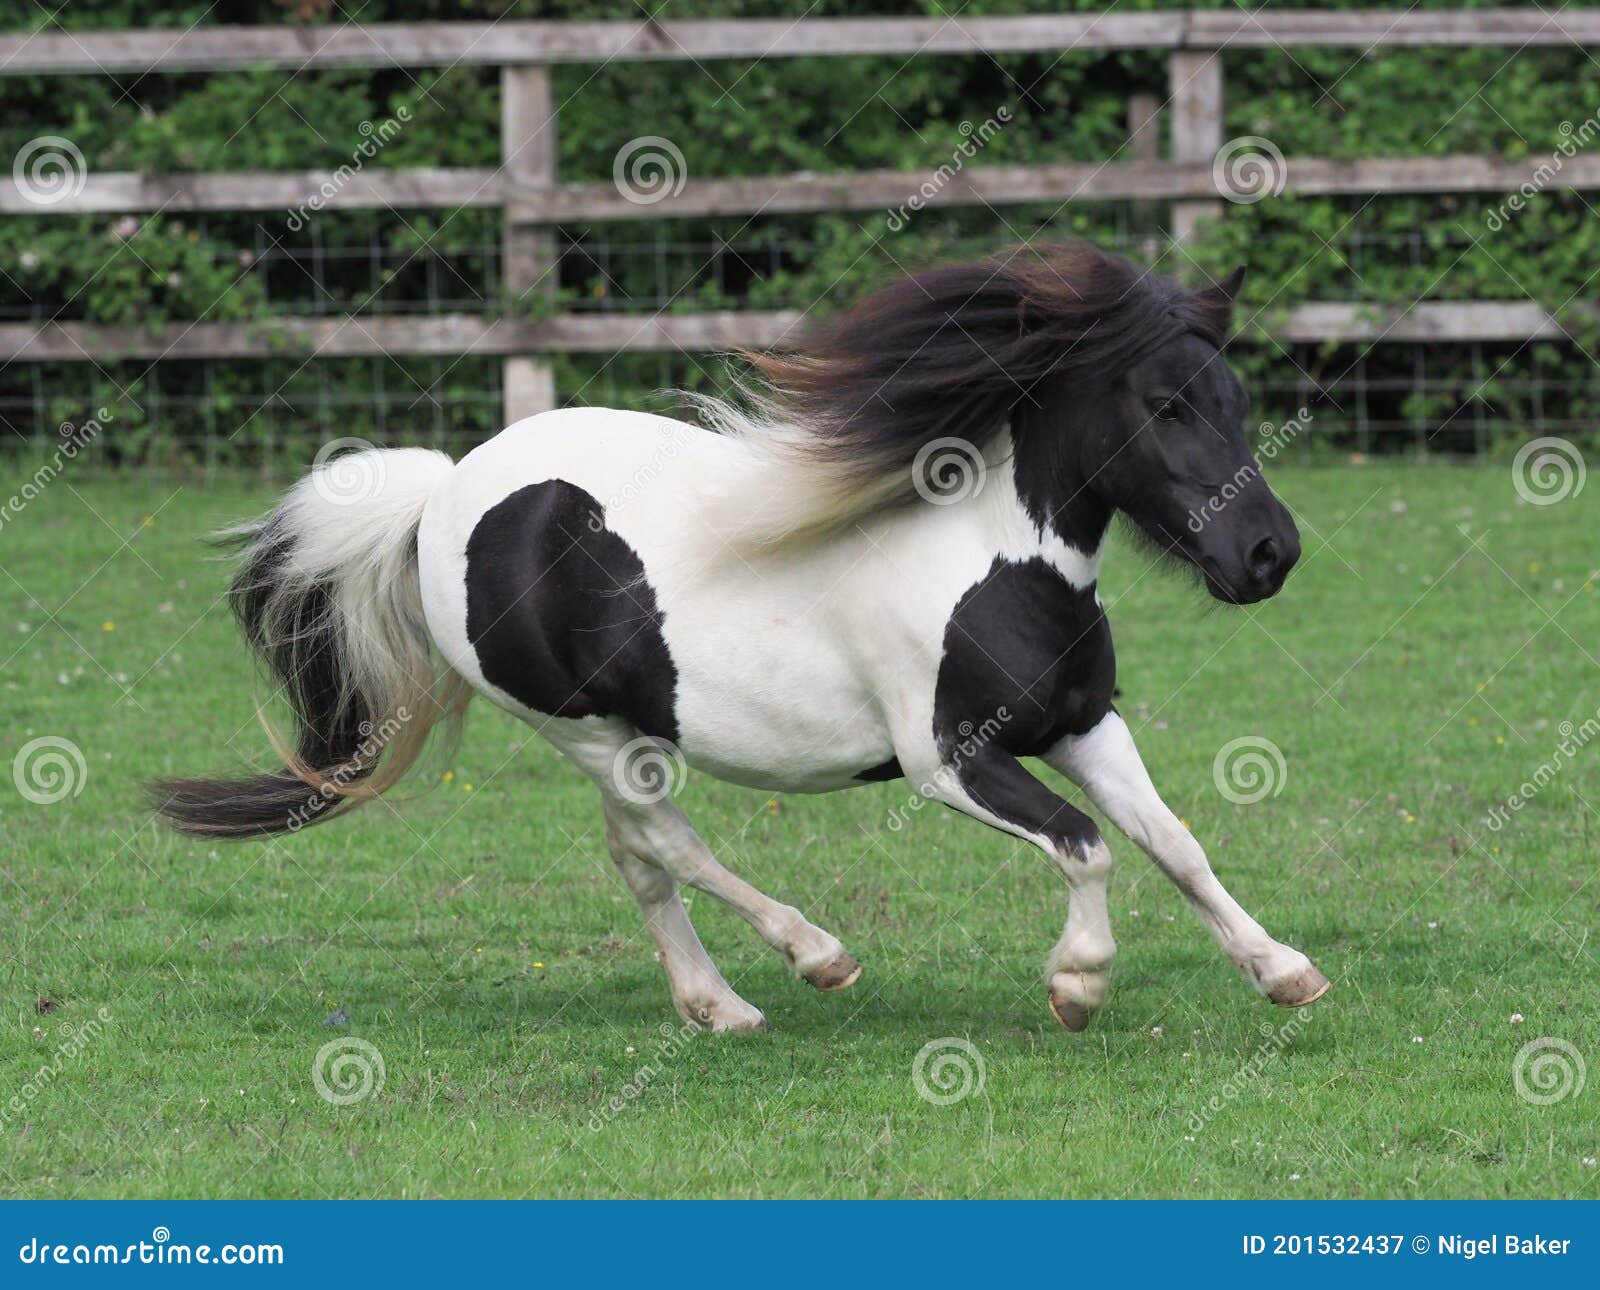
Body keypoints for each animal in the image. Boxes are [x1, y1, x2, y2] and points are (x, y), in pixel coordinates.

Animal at [151, 241, 1329, 1033]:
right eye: (1167, 406)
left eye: (1233, 396)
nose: (1270, 554)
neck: (996, 561)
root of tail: (445, 491)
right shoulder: (949, 762)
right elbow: (1085, 845)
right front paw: (1077, 982)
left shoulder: (1085, 728)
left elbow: (1173, 843)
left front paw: (1284, 972)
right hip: (579, 727)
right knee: (671, 844)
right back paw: (815, 959)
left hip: (621, 731)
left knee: (636, 856)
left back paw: (715, 1004)